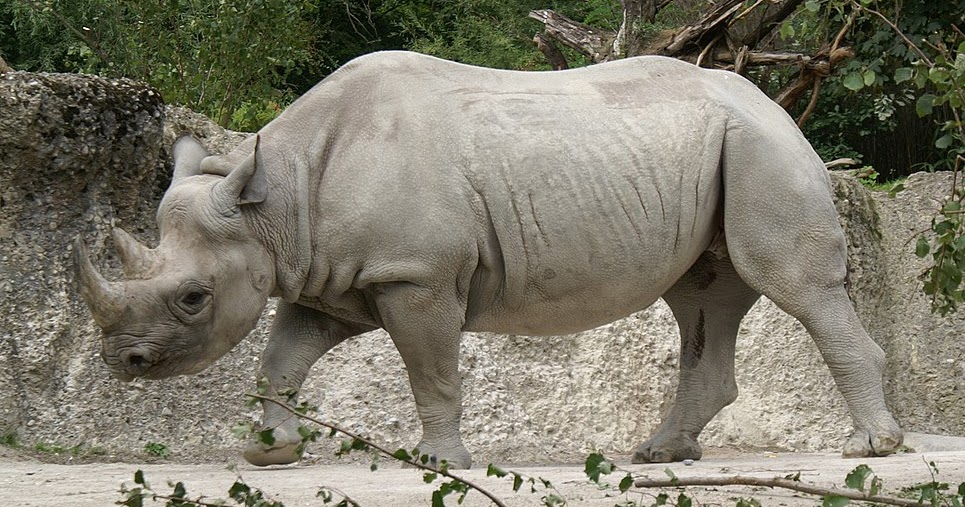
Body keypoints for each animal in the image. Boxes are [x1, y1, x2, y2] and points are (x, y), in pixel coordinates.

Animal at [75, 51, 903, 469]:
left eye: (192, 297)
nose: (122, 362)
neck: (277, 202)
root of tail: (772, 102)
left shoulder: (414, 273)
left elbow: (431, 372)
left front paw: (443, 463)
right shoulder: (327, 275)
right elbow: (280, 359)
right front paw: (266, 451)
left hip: (763, 147)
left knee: (791, 286)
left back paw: (871, 447)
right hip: (723, 149)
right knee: (702, 301)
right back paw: (658, 453)